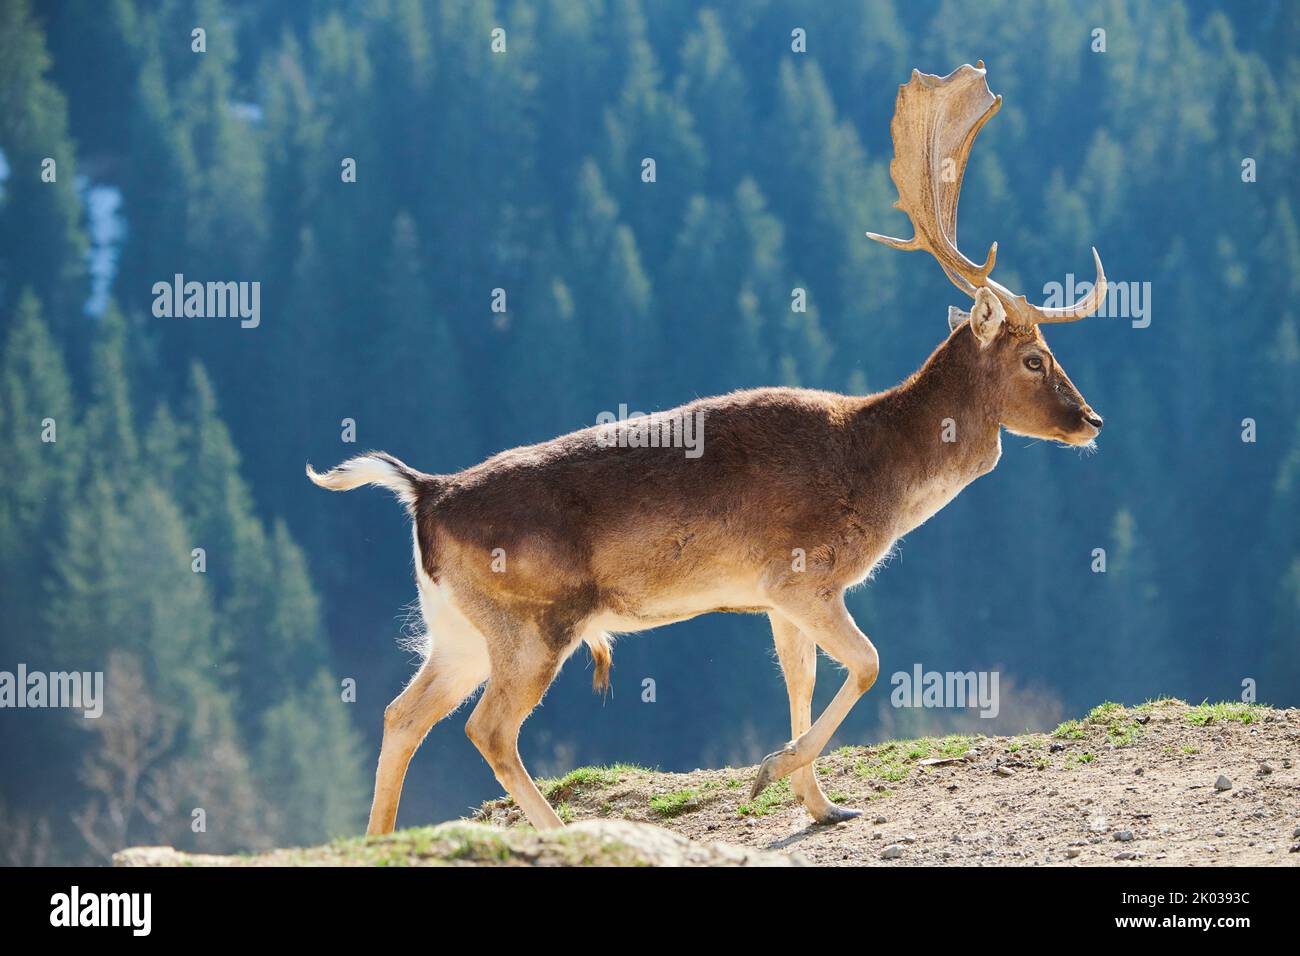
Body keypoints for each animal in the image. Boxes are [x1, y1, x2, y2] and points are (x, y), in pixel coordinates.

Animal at [307, 62, 1107, 834]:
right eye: (1034, 358)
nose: (1092, 420)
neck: (879, 472)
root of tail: (423, 492)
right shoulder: (802, 575)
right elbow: (869, 665)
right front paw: (770, 770)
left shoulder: (777, 596)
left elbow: (801, 681)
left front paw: (821, 804)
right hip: (532, 622)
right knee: (489, 729)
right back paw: (556, 829)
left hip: (457, 630)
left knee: (401, 713)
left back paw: (380, 838)